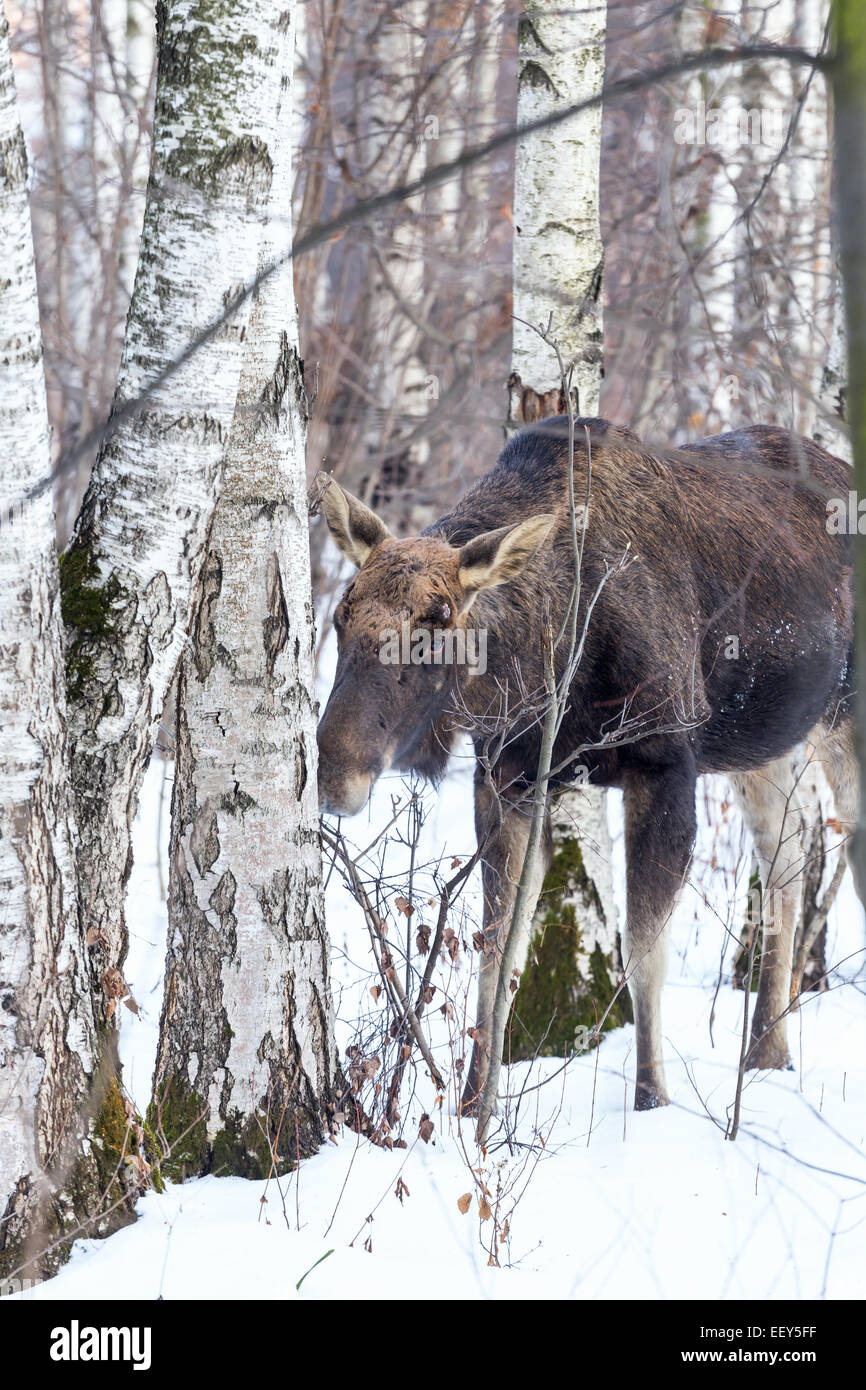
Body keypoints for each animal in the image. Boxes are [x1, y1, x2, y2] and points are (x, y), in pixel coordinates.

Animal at [315, 417, 860, 1113]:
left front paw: (652, 1097)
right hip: (762, 746)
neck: (547, 657)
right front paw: (475, 1102)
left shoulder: (663, 762)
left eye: (437, 620)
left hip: (840, 720)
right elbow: (498, 948)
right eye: (343, 612)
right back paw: (767, 1050)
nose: (334, 773)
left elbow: (643, 951)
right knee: (789, 855)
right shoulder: (508, 777)